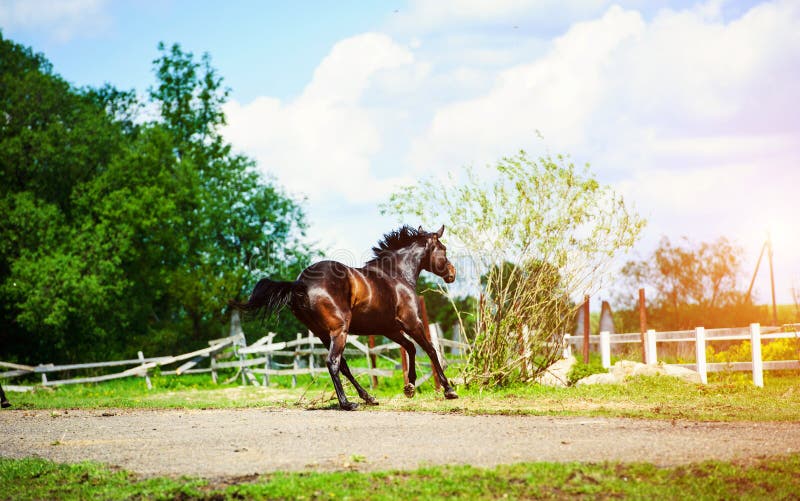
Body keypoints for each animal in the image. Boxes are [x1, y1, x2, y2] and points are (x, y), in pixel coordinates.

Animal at [230, 225, 458, 410]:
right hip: (340, 330)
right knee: (333, 362)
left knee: (343, 365)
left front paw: (410, 387)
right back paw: (347, 403)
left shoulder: (390, 329)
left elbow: (410, 348)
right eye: (444, 249)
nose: (452, 273)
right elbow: (430, 350)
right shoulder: (412, 322)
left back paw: (368, 397)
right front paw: (449, 389)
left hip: (323, 334)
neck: (396, 276)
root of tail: (300, 284)